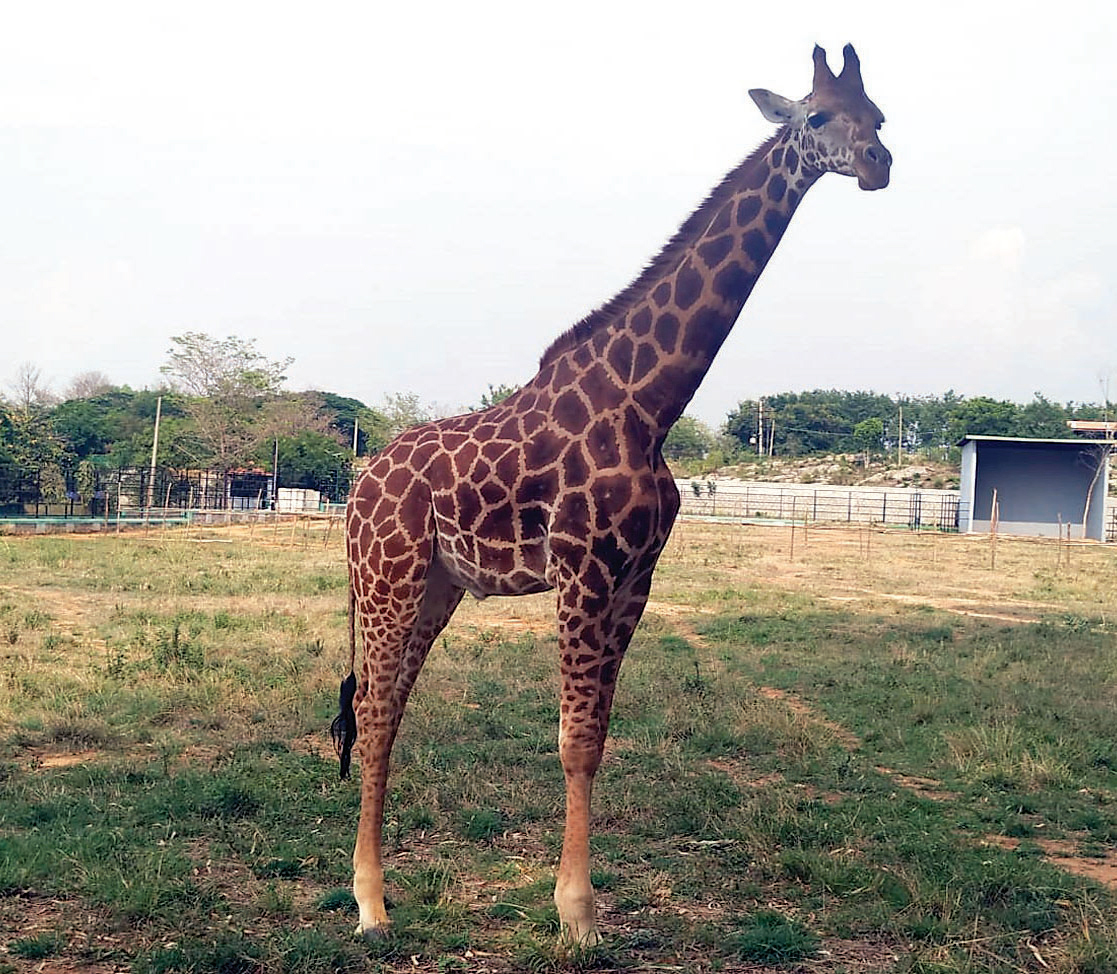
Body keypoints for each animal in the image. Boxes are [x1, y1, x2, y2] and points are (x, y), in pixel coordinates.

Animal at [334, 44, 890, 945]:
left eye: (878, 115)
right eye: (816, 116)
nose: (878, 164)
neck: (647, 405)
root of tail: (359, 488)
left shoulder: (636, 578)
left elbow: (595, 739)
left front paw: (583, 909)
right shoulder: (583, 570)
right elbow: (569, 740)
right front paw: (575, 916)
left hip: (438, 585)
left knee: (392, 707)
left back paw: (377, 892)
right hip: (386, 575)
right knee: (378, 709)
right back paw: (370, 906)